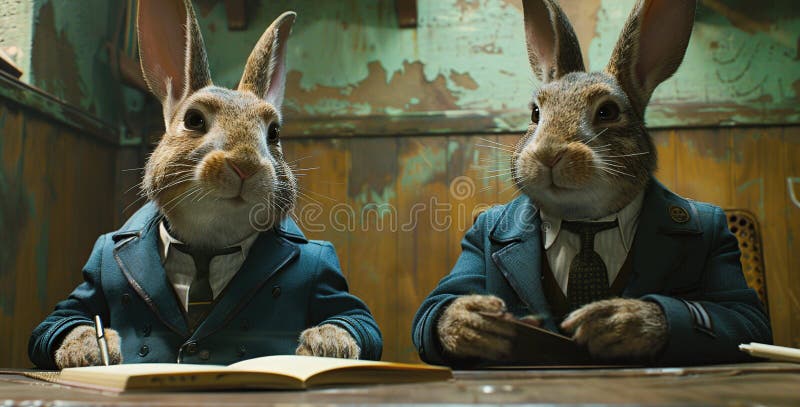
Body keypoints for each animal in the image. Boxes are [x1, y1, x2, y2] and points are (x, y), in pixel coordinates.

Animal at [36, 0, 382, 370]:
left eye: (274, 132)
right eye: (193, 120)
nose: (245, 165)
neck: (208, 245)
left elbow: (352, 314)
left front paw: (326, 346)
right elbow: (68, 313)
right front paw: (88, 351)